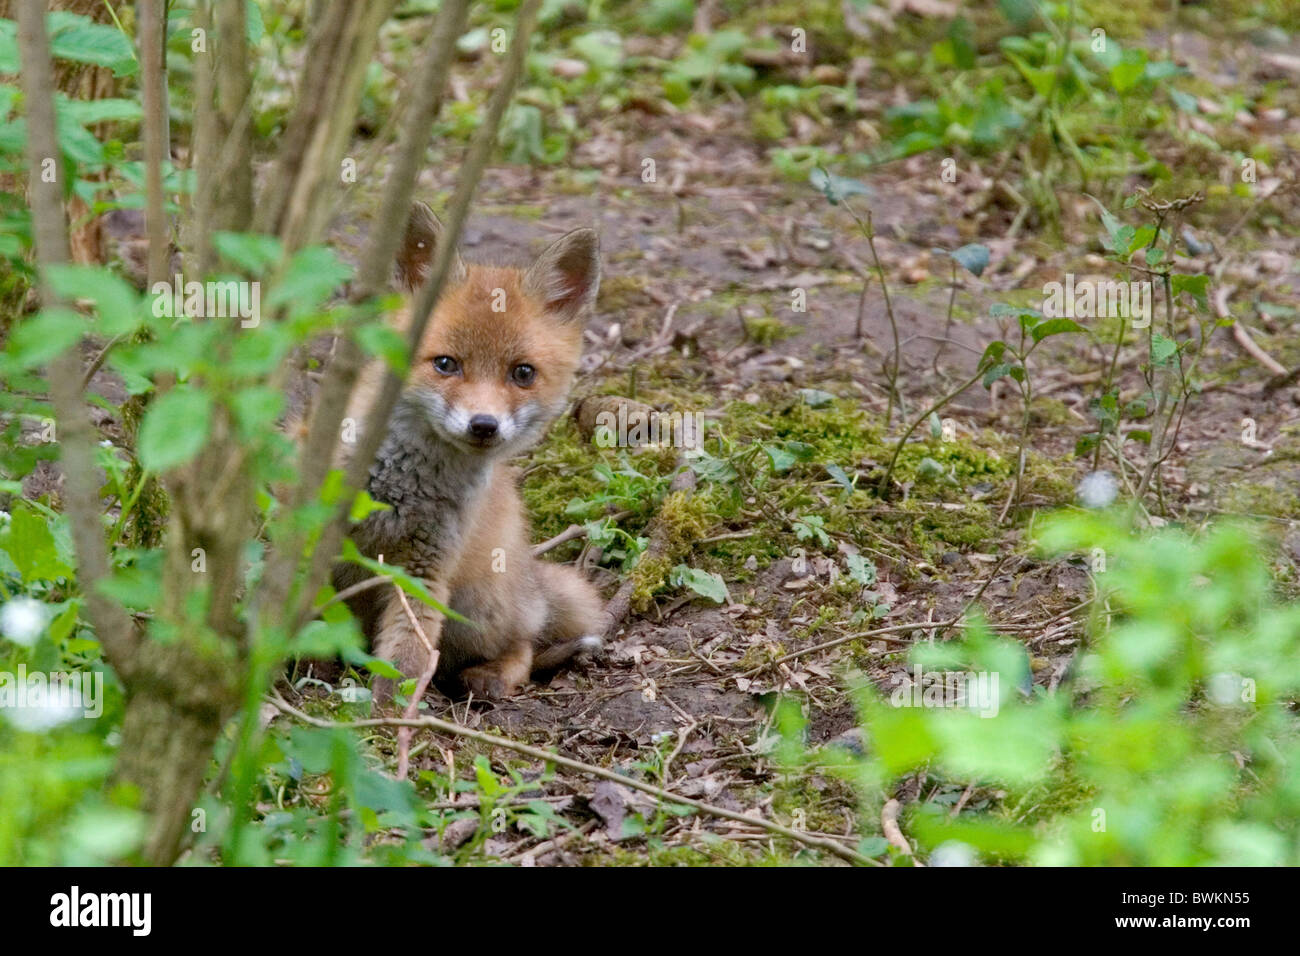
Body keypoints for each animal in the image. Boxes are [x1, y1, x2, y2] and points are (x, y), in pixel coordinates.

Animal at [331, 201, 604, 701]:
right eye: (445, 364)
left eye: (522, 373)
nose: (484, 425)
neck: (407, 488)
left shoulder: (427, 569)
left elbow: (407, 659)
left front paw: (386, 716)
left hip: (480, 608)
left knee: (524, 646)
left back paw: (493, 675)